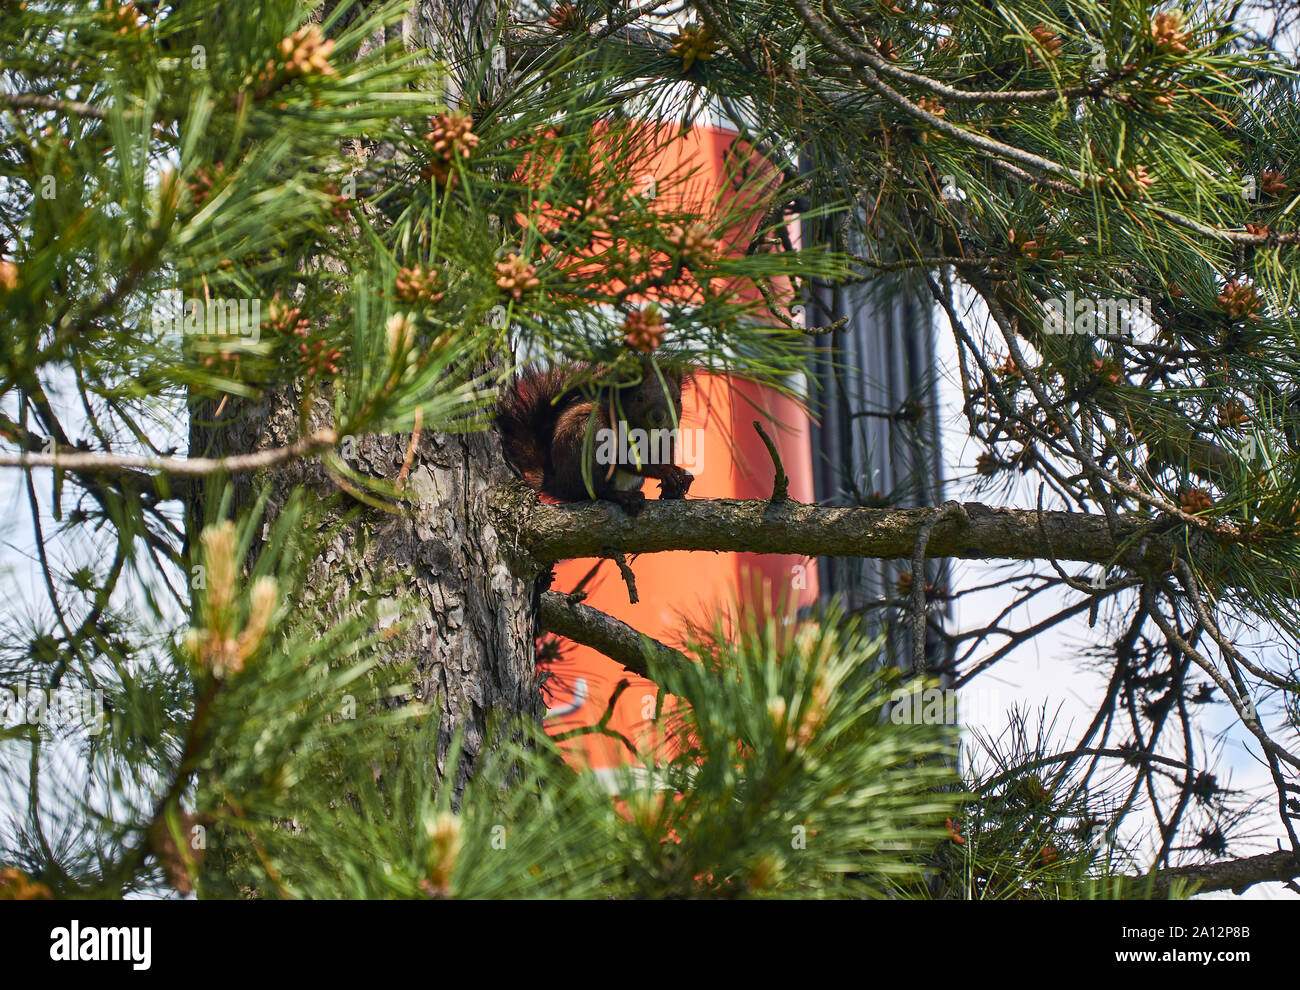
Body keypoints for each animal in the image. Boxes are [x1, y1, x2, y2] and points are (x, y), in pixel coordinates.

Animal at [496, 359, 695, 514]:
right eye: (639, 397)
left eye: (678, 399)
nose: (658, 417)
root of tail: (558, 483)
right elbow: (627, 458)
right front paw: (665, 472)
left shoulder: (667, 440)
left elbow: (667, 457)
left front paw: (678, 473)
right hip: (590, 440)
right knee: (596, 490)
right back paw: (624, 497)